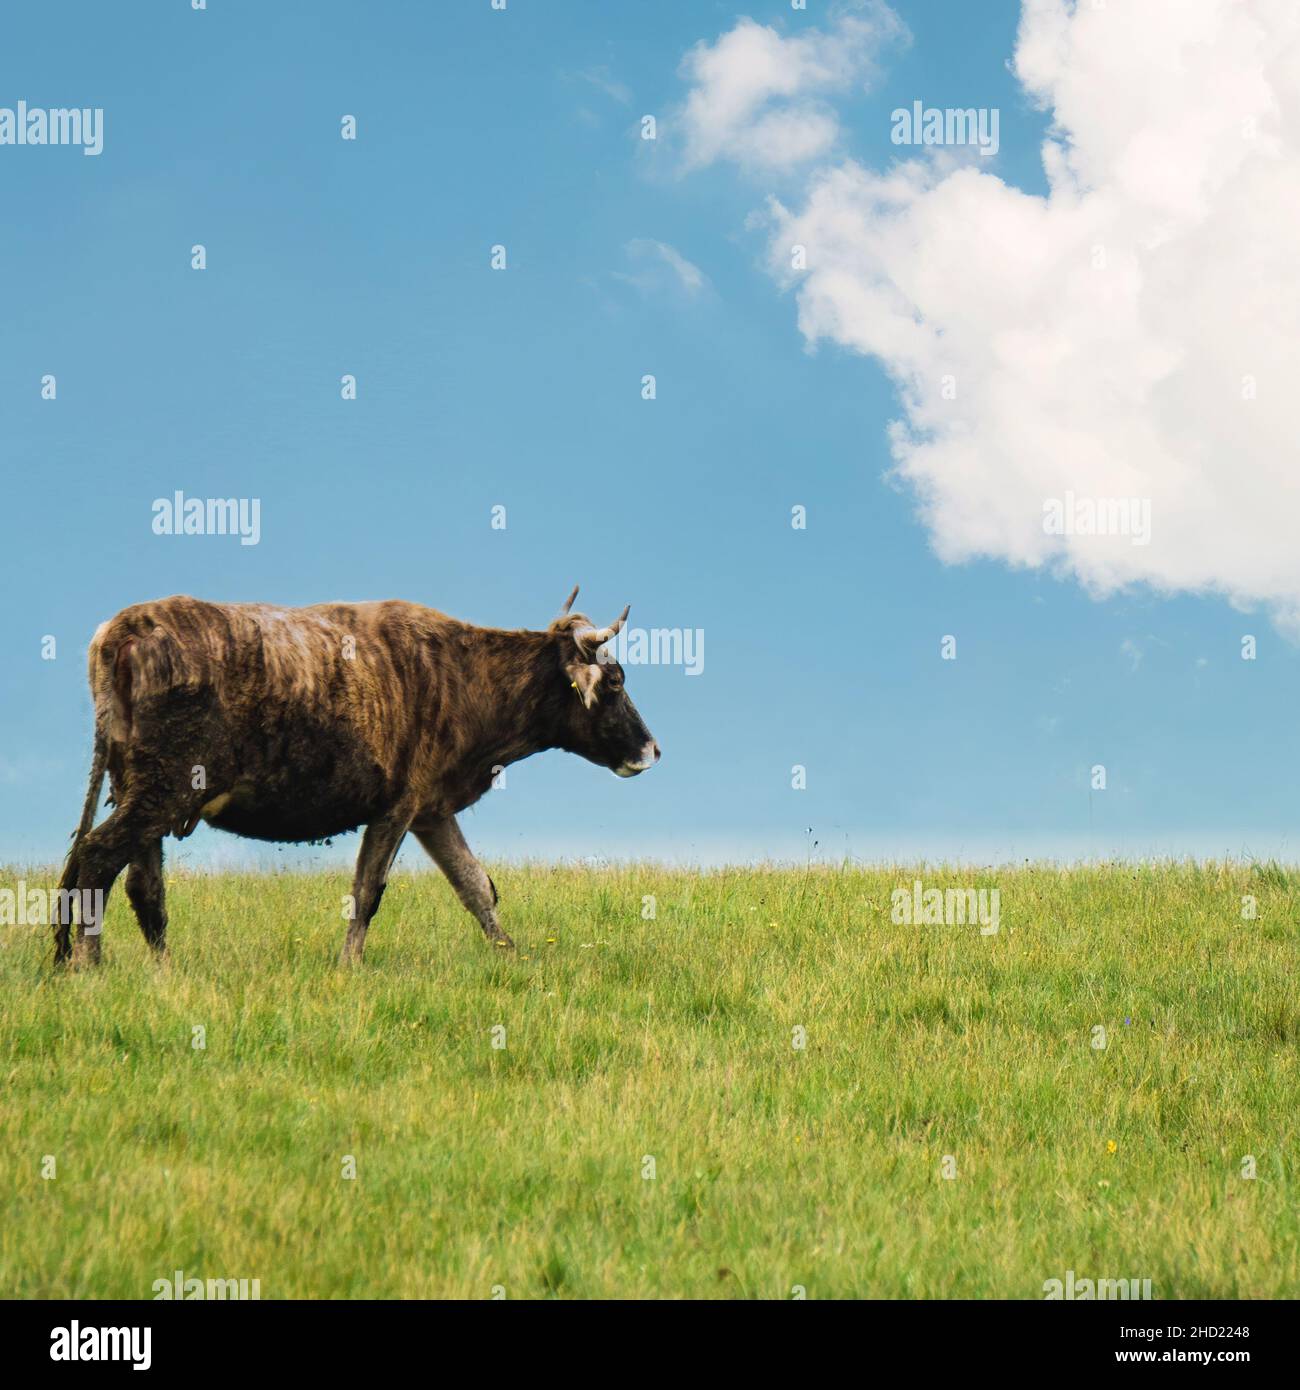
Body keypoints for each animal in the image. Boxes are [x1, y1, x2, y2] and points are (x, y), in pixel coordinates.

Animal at [52, 587, 659, 967]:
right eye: (615, 681)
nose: (652, 749)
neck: (464, 673)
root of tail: (122, 629)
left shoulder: (431, 810)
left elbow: (476, 886)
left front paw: (511, 955)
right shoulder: (398, 806)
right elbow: (367, 891)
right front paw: (349, 965)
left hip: (144, 792)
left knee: (141, 885)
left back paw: (162, 969)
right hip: (161, 790)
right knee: (98, 859)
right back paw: (86, 964)